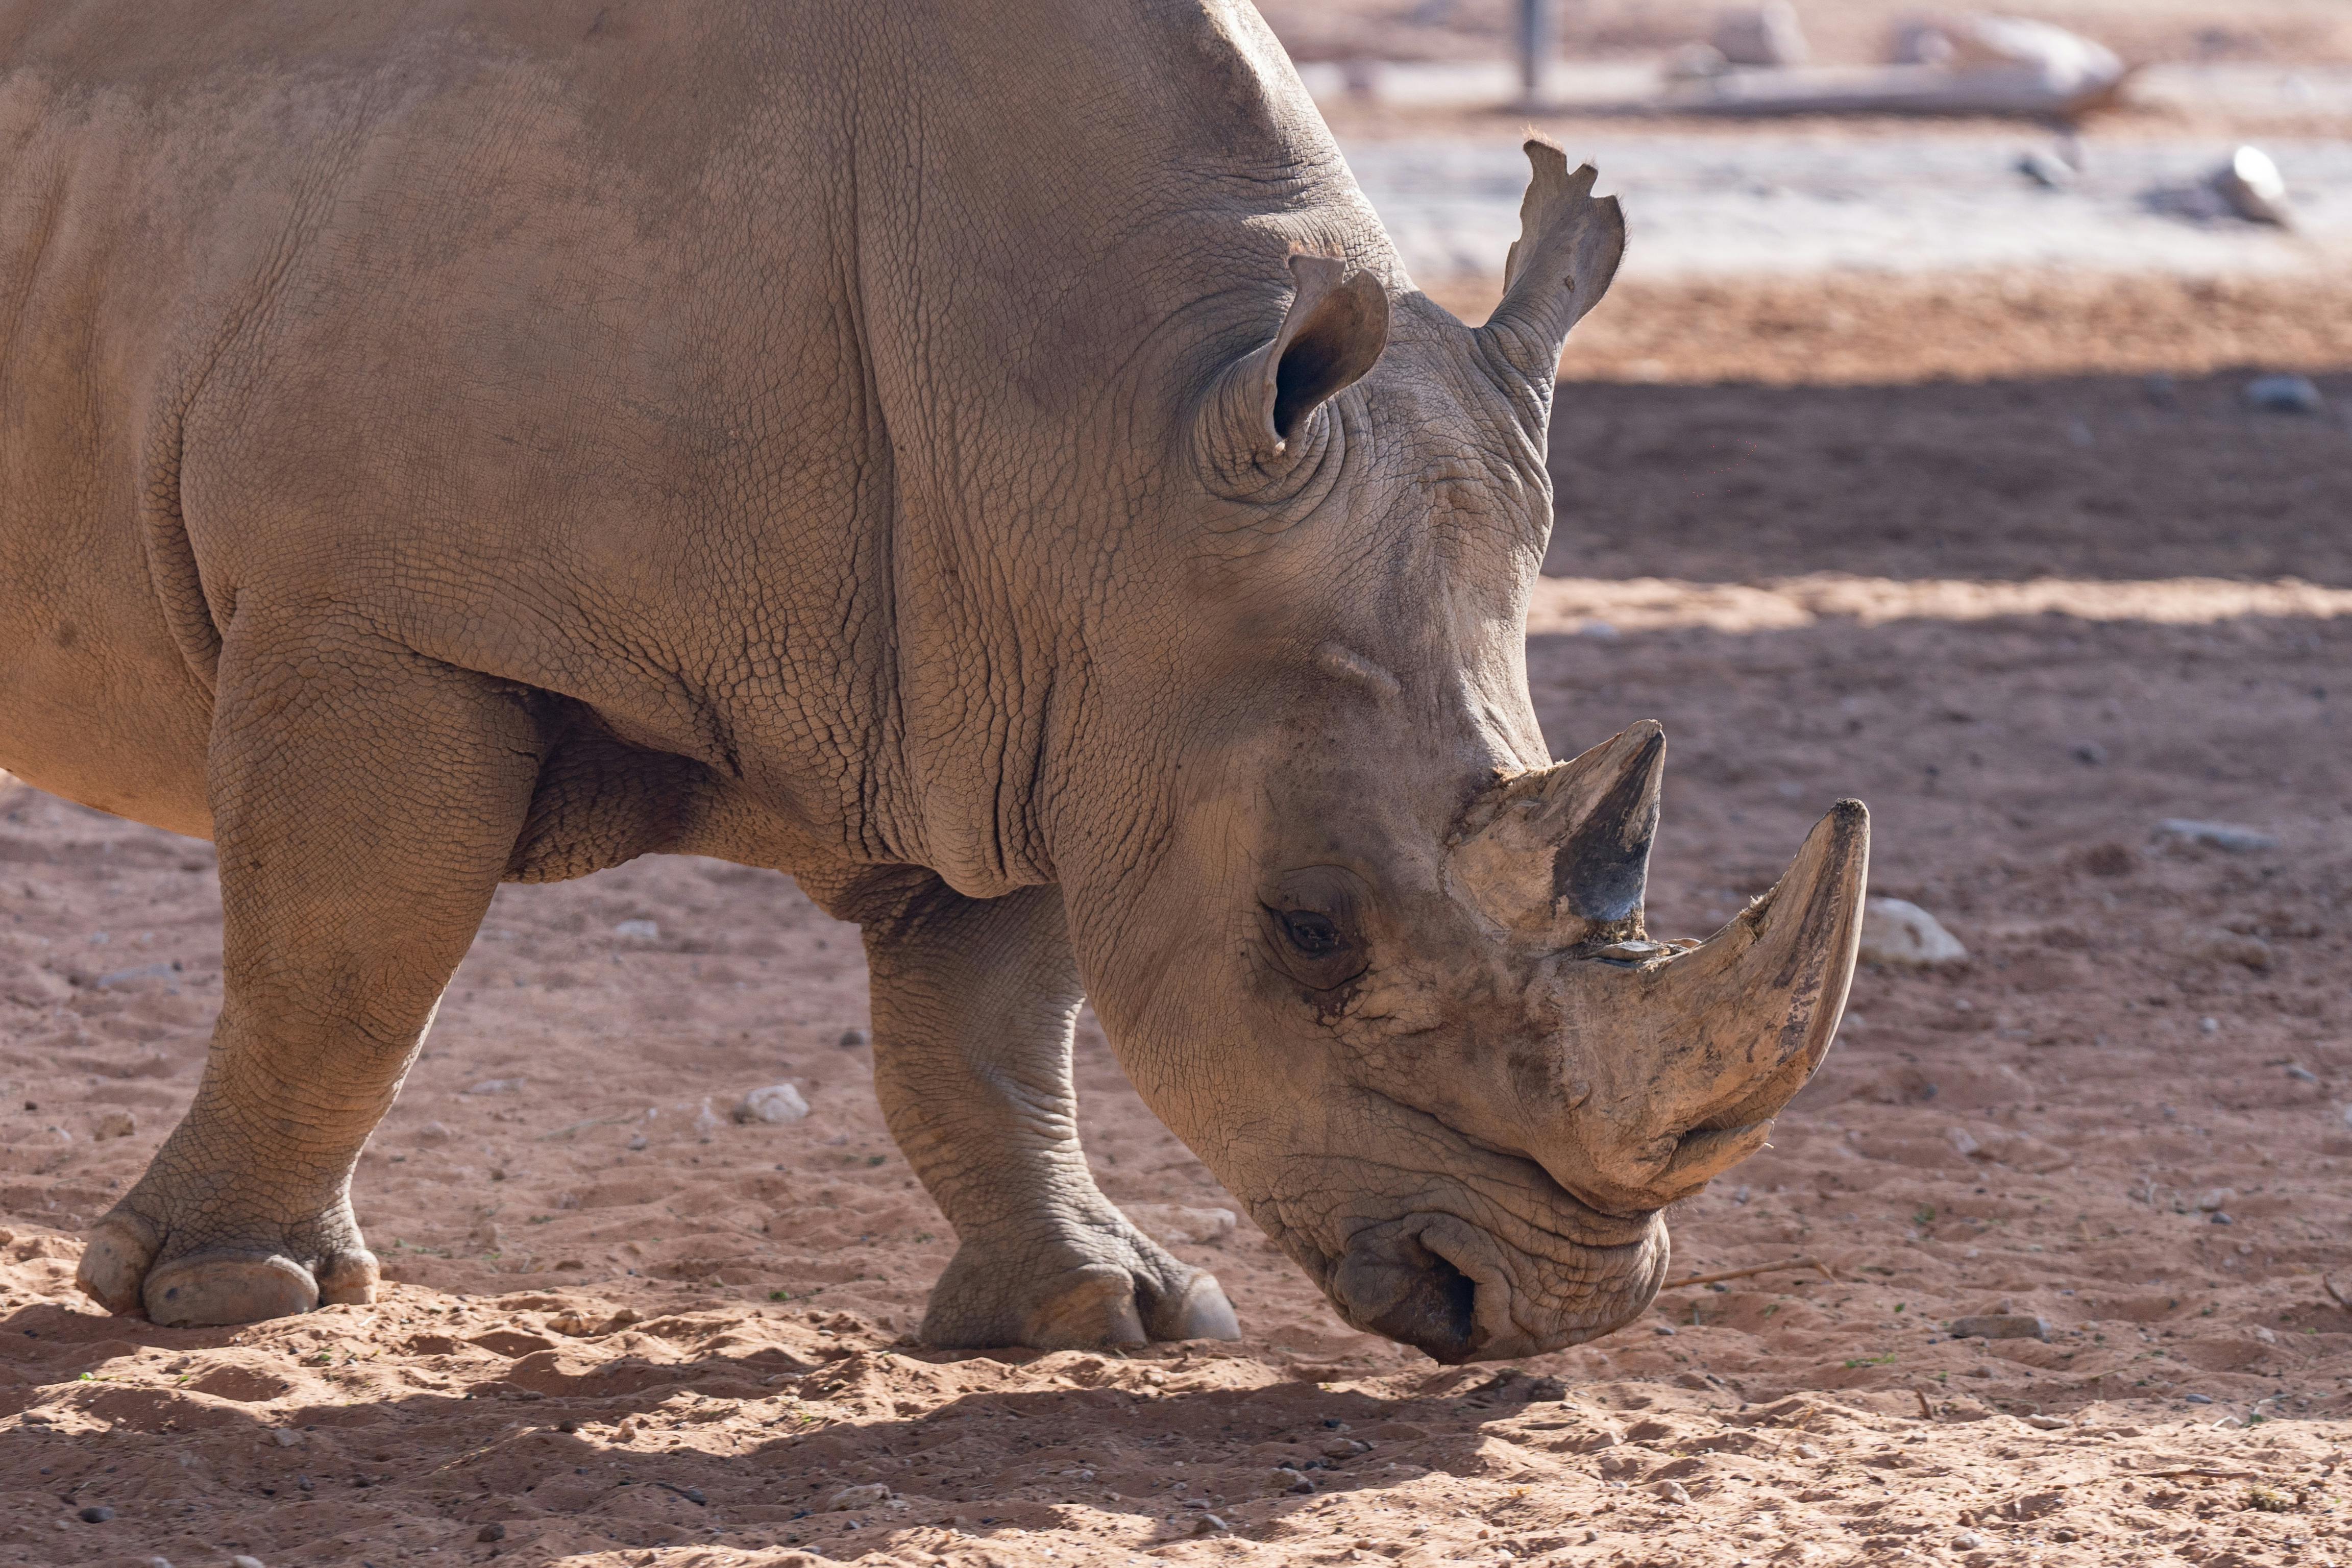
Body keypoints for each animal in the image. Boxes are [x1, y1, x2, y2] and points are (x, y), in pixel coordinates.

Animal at [0, 0, 1866, 1363]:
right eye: (1313, 931)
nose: (1547, 1307)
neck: (1109, 411)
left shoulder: (1048, 679)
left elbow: (991, 1025)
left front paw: (1104, 1317)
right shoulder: (392, 618)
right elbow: (347, 965)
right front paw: (223, 1301)